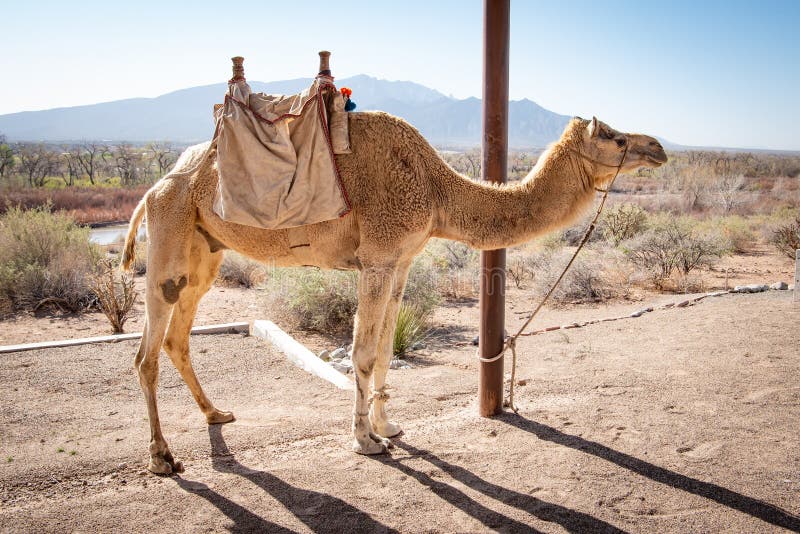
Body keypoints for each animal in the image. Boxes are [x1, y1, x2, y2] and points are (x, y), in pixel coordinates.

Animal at [121, 113, 667, 474]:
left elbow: (385, 351)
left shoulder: (402, 260)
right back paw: (163, 457)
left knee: (177, 337)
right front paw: (364, 441)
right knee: (146, 351)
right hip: (170, 232)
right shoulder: (379, 256)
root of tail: (153, 187)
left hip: (204, 249)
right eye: (618, 138)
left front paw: (388, 427)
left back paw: (216, 413)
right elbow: (362, 353)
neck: (436, 187)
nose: (659, 147)